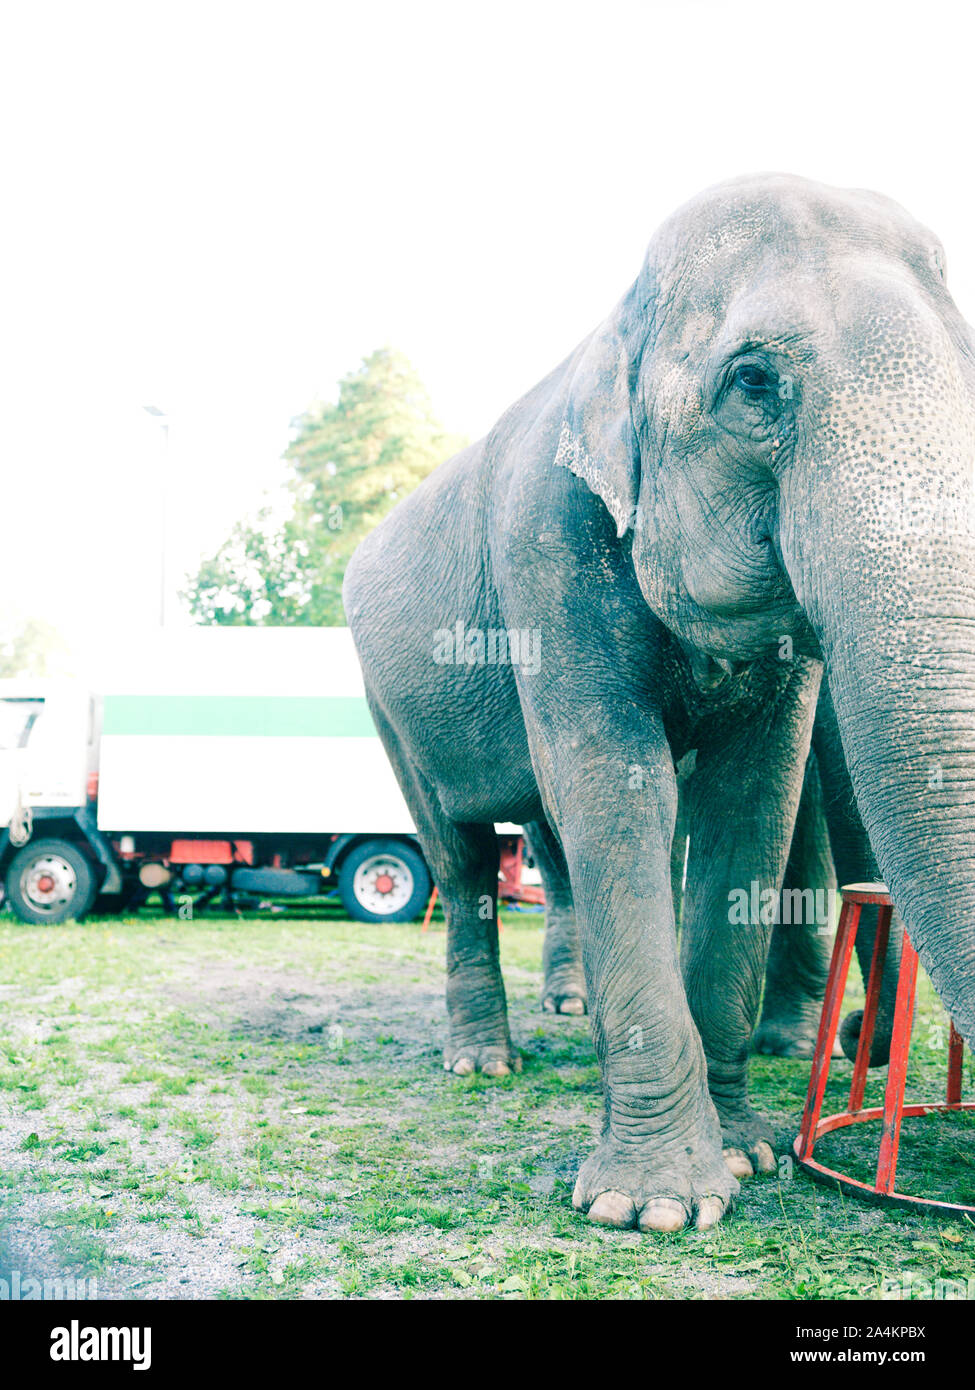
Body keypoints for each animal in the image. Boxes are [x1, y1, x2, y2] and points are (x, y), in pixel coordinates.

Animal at [344, 174, 975, 1234]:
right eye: (753, 382)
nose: (857, 1032)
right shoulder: (545, 543)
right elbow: (617, 786)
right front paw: (650, 1207)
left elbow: (753, 802)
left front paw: (749, 1153)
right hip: (384, 703)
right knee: (459, 854)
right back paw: (484, 1061)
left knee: (547, 844)